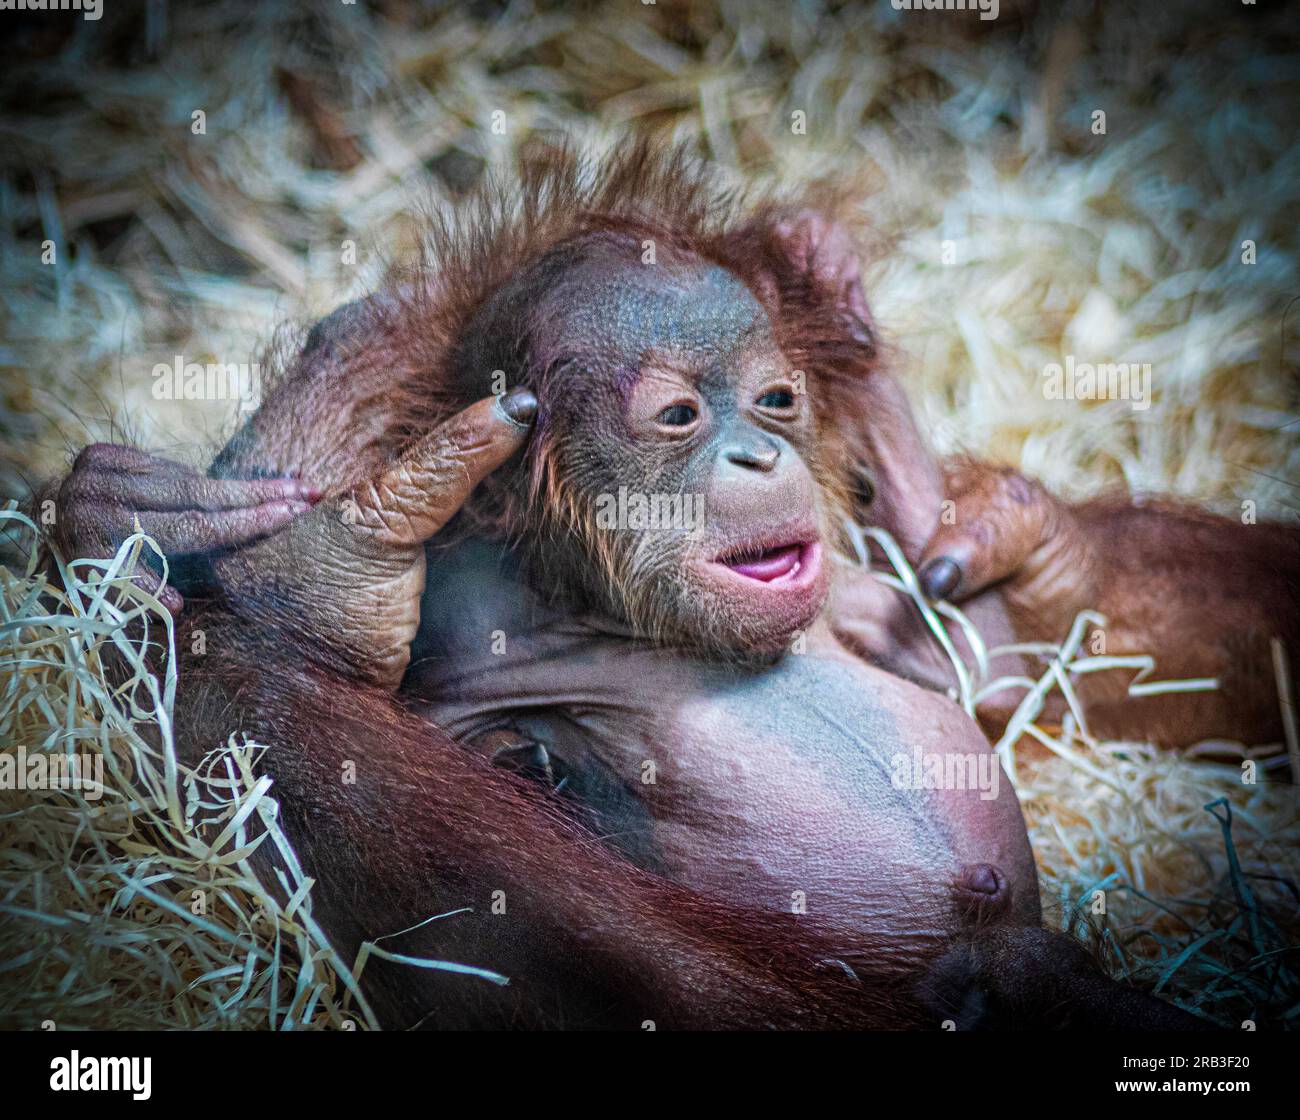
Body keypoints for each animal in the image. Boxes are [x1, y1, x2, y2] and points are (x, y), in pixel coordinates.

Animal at [41, 143, 1272, 1029]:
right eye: (679, 415)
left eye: (774, 399)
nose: (759, 454)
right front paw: (292, 564)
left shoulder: (858, 599)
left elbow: (995, 665)